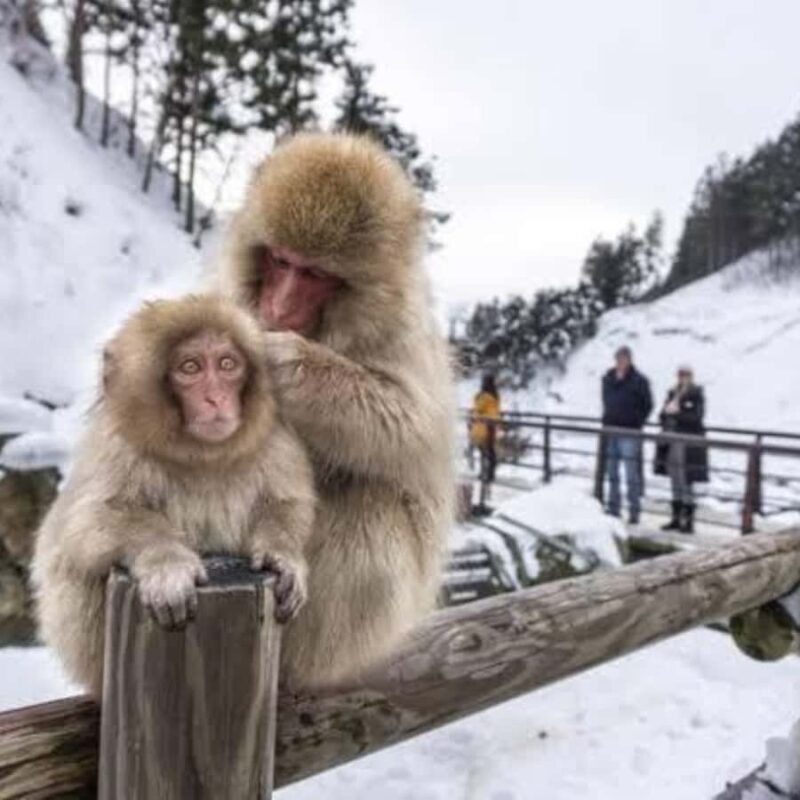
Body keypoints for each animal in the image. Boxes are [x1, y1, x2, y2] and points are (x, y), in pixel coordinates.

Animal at [31, 293, 316, 697]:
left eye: (227, 364)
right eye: (190, 367)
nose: (215, 398)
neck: (201, 457)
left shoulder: (275, 440)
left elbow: (288, 503)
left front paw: (283, 555)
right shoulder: (117, 448)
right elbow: (89, 524)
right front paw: (167, 562)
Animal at [219, 132, 456, 688]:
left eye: (315, 274)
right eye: (280, 261)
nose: (279, 307)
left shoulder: (402, 334)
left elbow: (413, 428)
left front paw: (289, 366)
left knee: (373, 501)